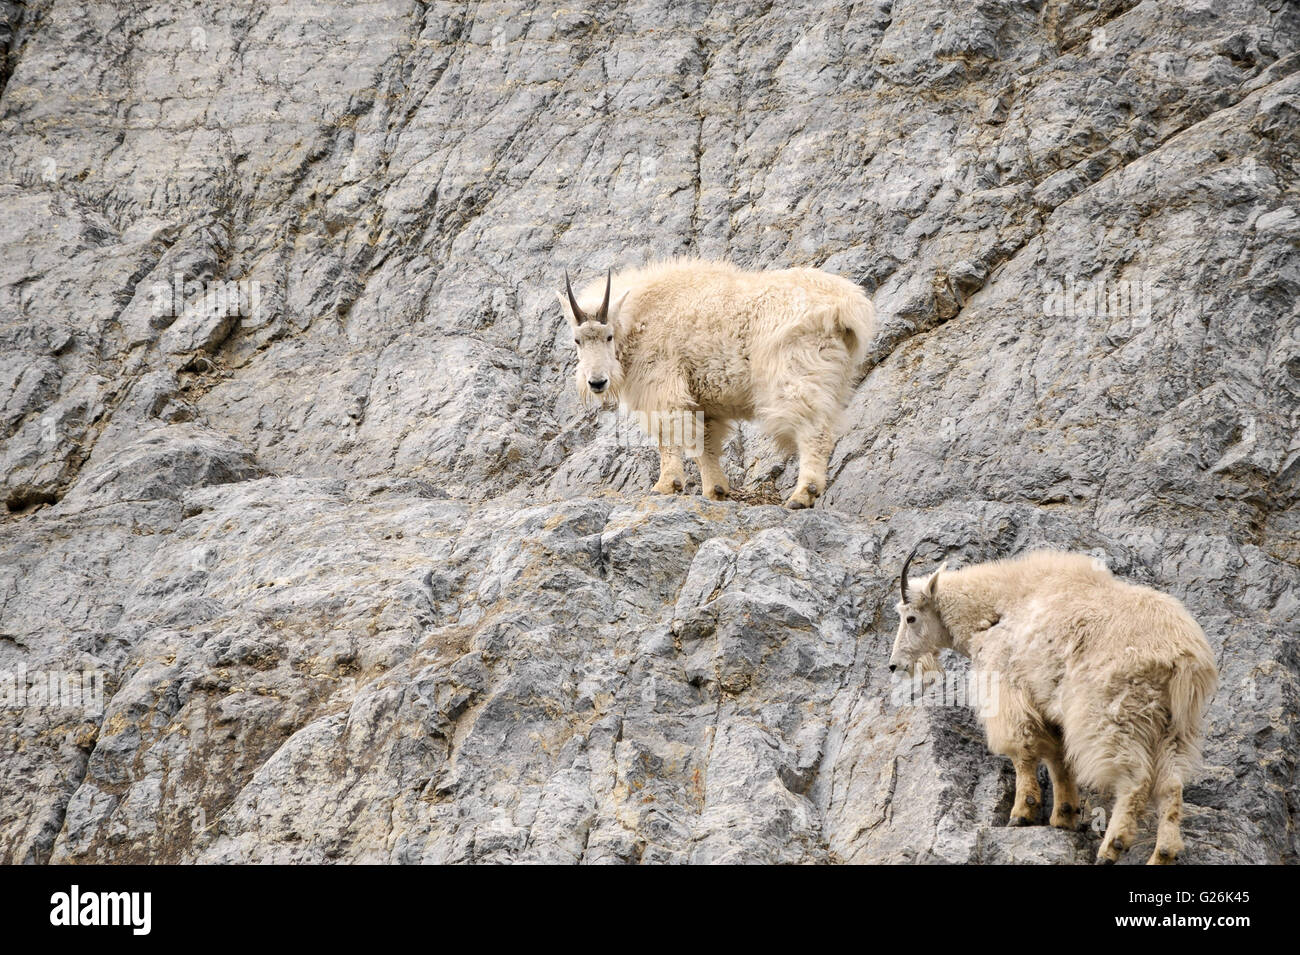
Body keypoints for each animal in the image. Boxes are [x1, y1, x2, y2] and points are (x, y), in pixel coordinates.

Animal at [558, 258, 873, 508]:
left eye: (608, 336)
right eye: (577, 340)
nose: (597, 382)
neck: (639, 318)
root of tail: (845, 306)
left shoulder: (661, 383)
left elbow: (667, 434)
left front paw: (666, 485)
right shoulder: (702, 401)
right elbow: (705, 443)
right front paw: (715, 490)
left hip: (796, 373)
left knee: (813, 430)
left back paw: (802, 494)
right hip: (835, 378)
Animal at [888, 547, 1217, 864]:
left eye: (910, 618)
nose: (894, 665)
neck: (994, 611)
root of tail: (1182, 656)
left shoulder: (1008, 688)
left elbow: (1022, 748)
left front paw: (1022, 813)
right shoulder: (1048, 705)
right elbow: (1059, 758)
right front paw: (1063, 816)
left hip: (1113, 713)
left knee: (1135, 779)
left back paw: (1112, 847)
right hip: (1175, 725)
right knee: (1171, 785)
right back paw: (1163, 853)